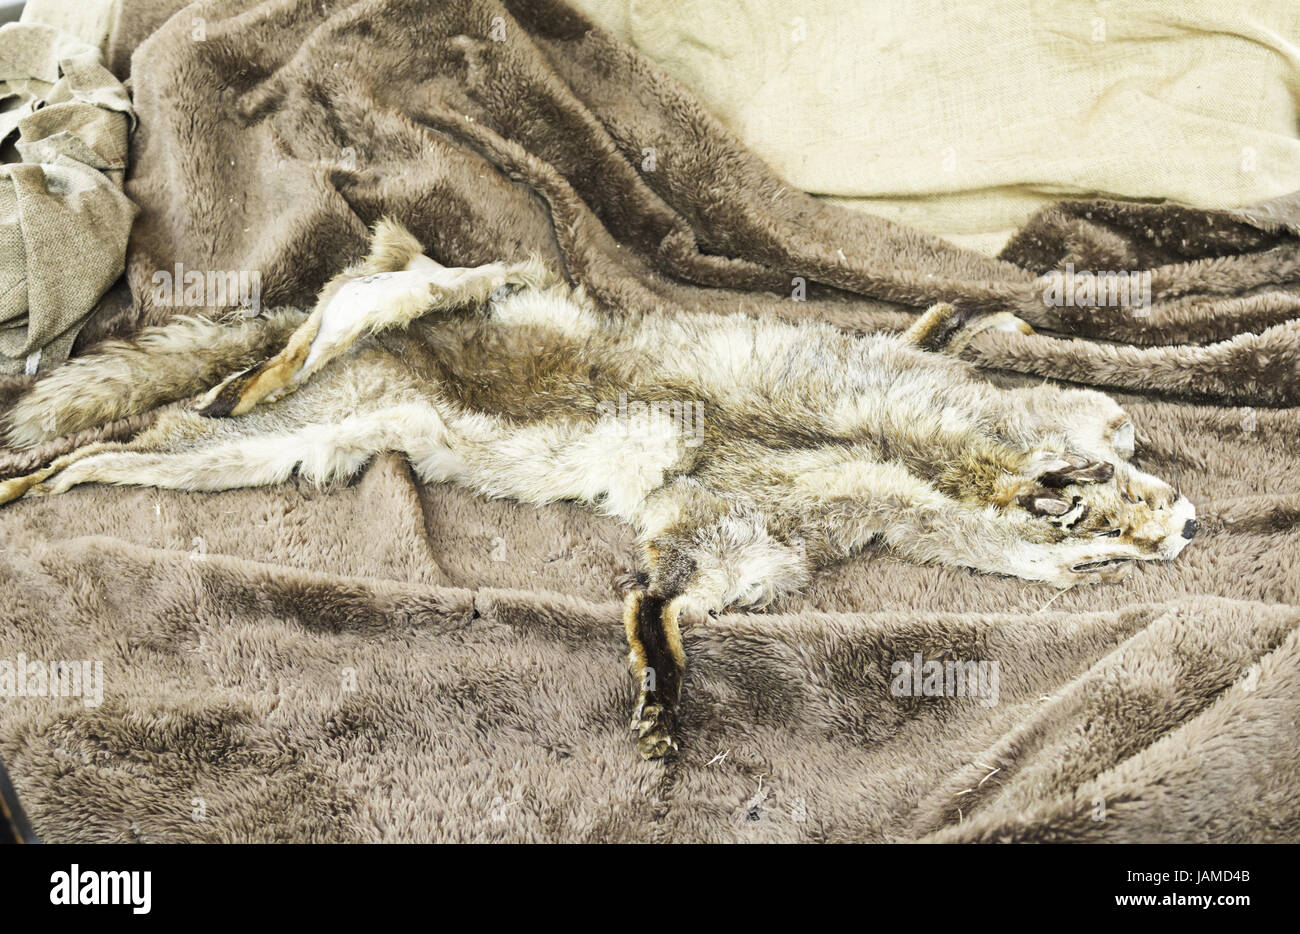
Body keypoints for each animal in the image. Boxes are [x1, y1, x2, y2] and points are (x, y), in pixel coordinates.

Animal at [0, 220, 1197, 759]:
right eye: (1116, 502)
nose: (1190, 521)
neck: (903, 454)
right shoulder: (815, 434)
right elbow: (952, 343)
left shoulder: (745, 536)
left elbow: (659, 605)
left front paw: (659, 692)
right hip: (480, 285)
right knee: (379, 275)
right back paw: (262, 362)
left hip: (277, 454)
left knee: (129, 445)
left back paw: (47, 473)